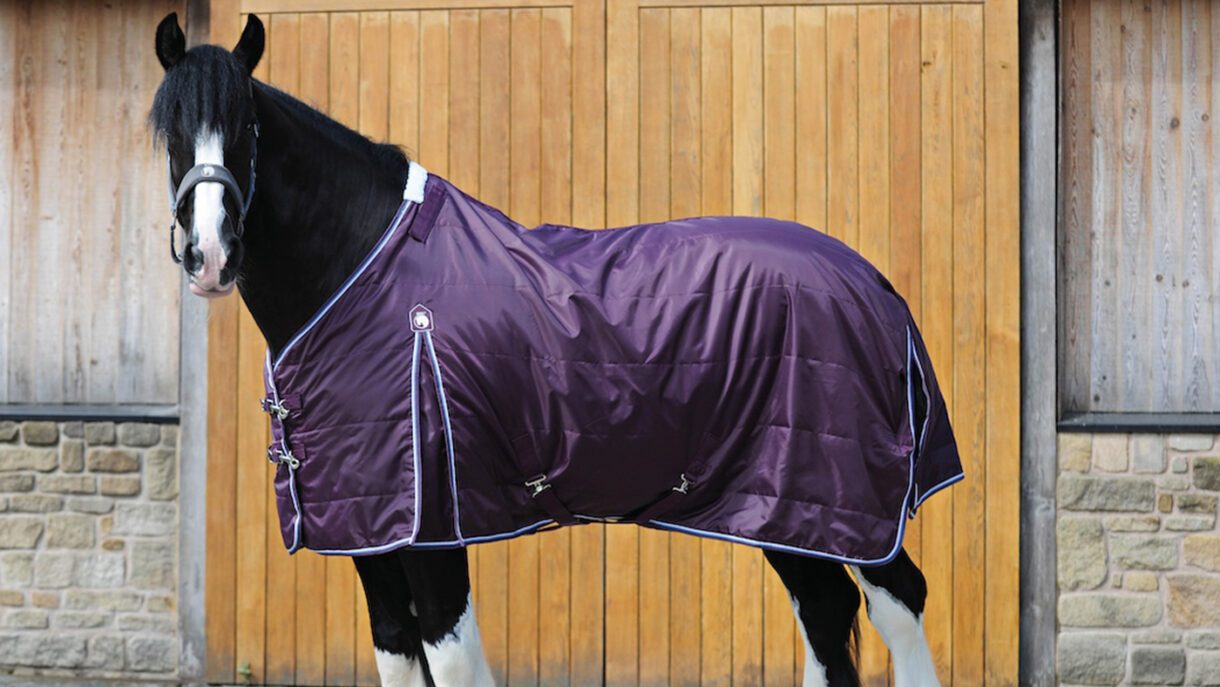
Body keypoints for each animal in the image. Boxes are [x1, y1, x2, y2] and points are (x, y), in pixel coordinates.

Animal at [150, 13, 957, 687]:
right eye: (171, 135)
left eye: (248, 126)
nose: (209, 256)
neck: (364, 272)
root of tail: (873, 282)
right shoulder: (368, 532)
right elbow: (397, 650)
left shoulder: (435, 528)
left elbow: (453, 659)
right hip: (783, 507)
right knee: (822, 611)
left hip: (844, 502)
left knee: (897, 604)